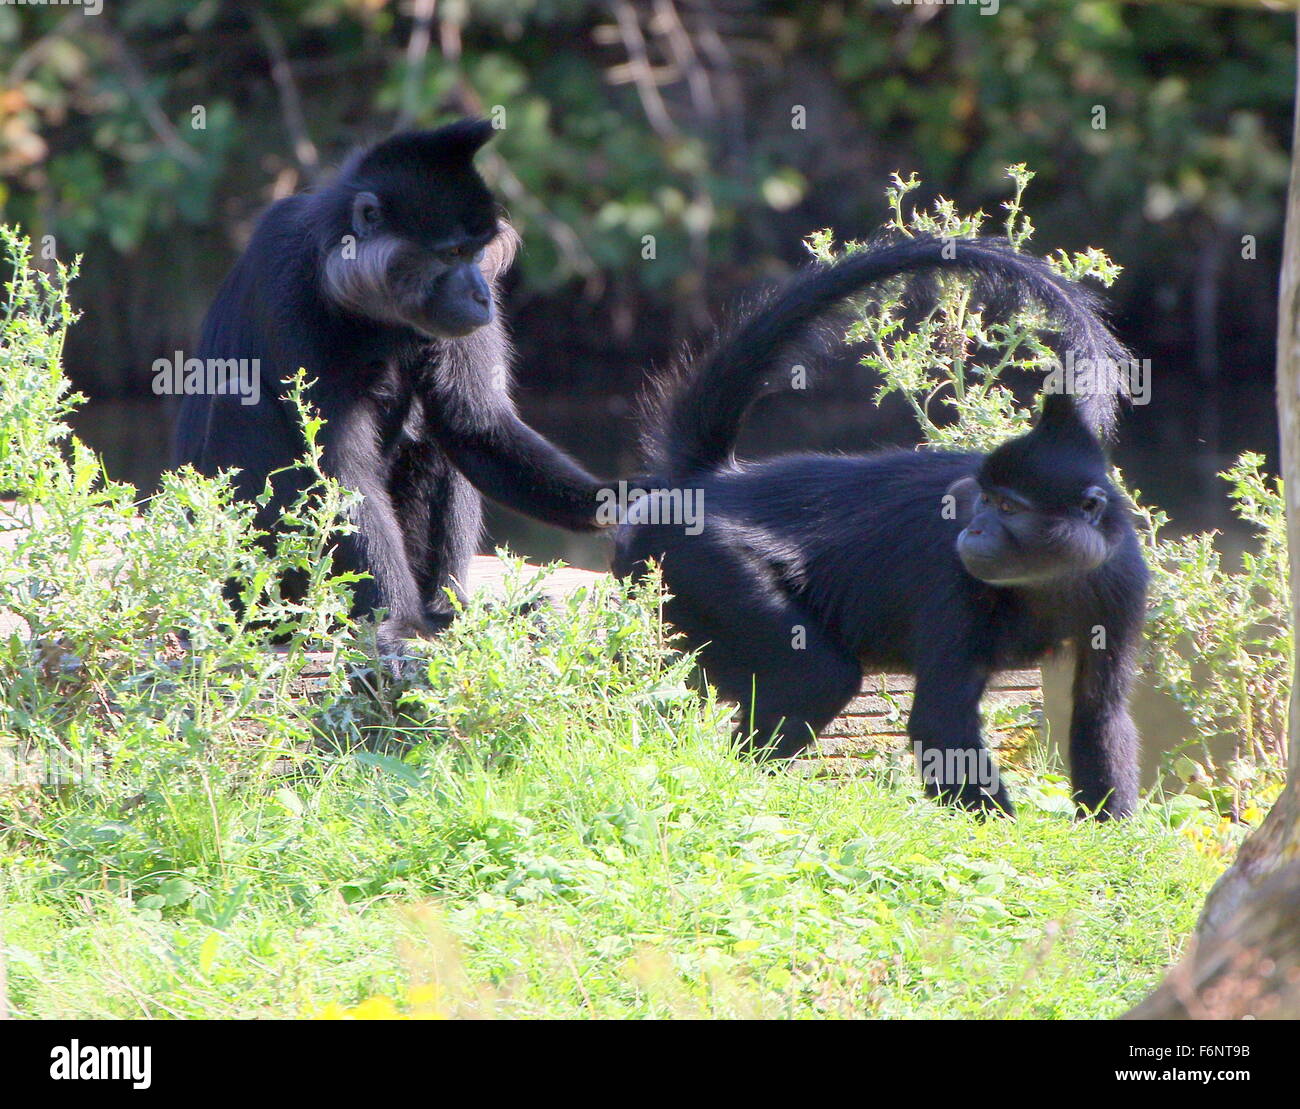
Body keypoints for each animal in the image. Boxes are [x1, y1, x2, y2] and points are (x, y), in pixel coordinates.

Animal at [175, 120, 609, 664]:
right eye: (452, 253)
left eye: (477, 253)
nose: (480, 295)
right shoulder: (287, 279)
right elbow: (341, 467)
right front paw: (401, 625)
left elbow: (475, 428)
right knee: (240, 402)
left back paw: (445, 609)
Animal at [613, 235, 1147, 819]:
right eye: (984, 500)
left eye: (1007, 507)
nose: (974, 531)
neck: (1045, 581)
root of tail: (716, 482)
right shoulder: (953, 579)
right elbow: (941, 722)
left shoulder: (1121, 581)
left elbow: (1100, 711)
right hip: (696, 560)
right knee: (819, 676)